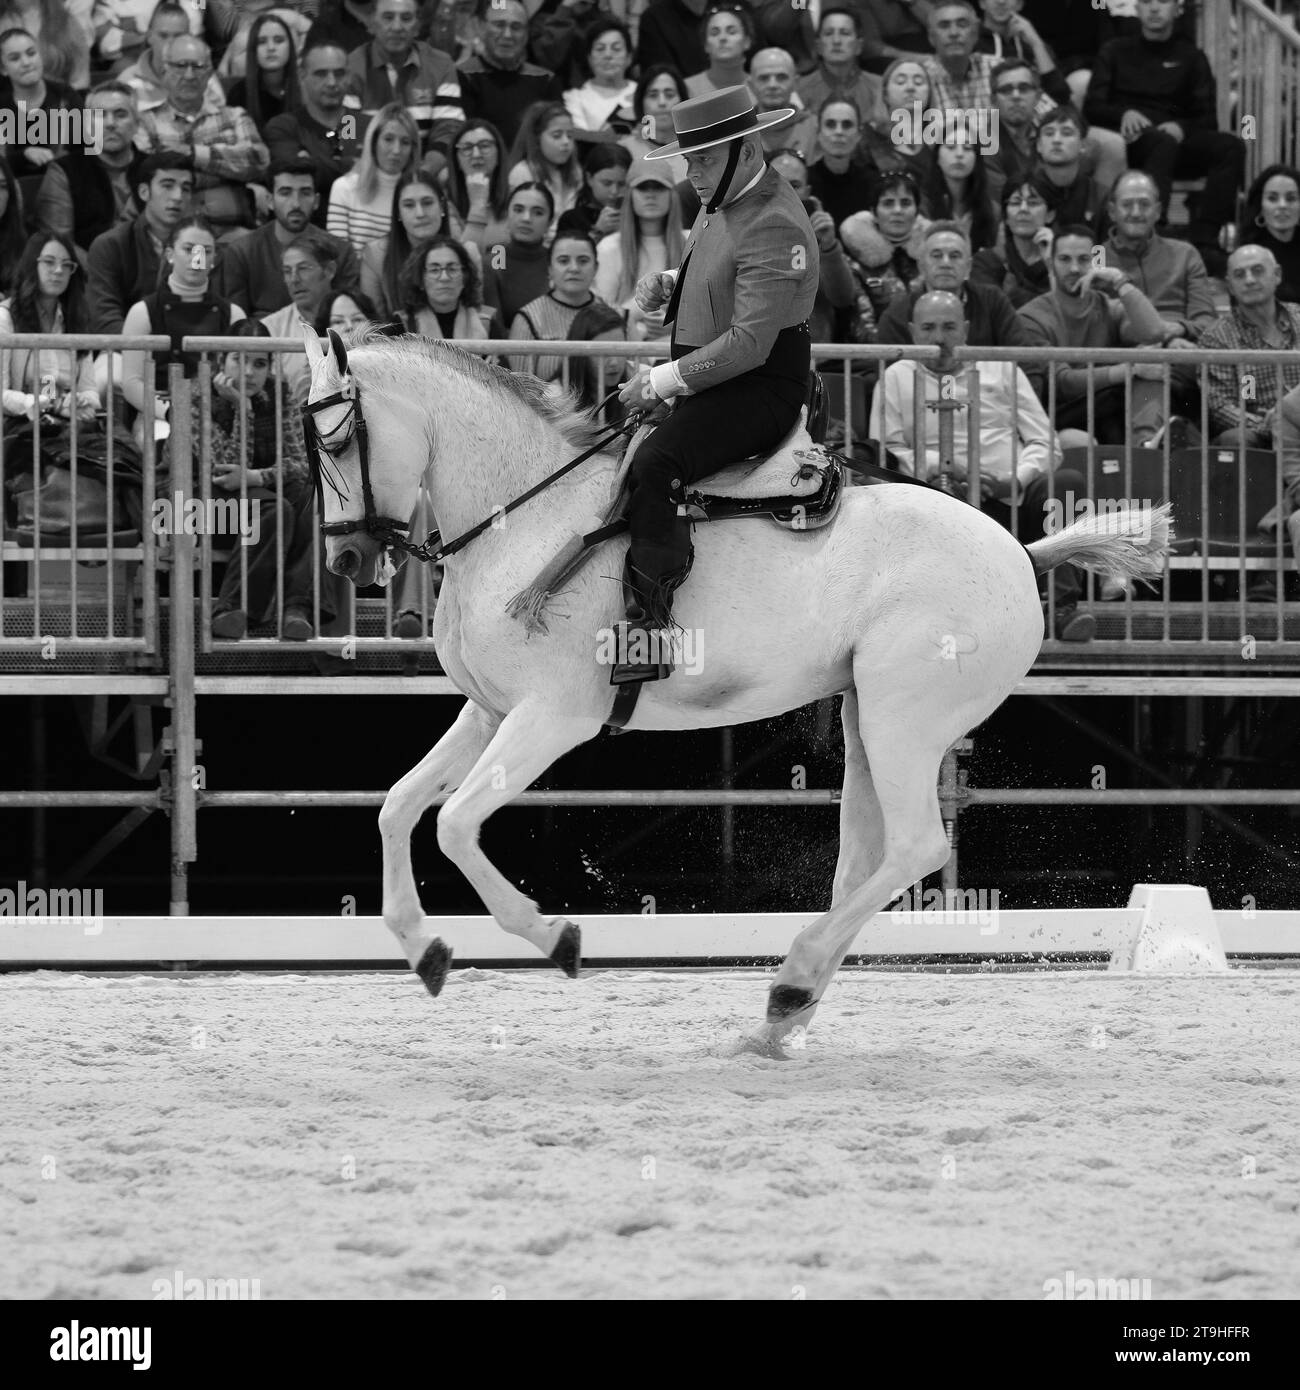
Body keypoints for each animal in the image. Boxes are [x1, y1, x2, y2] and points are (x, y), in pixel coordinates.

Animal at [301, 326, 1171, 1056]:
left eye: (337, 439)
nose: (346, 562)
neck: (527, 519)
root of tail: (1021, 553)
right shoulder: (489, 713)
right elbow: (398, 807)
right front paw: (426, 950)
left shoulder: (550, 719)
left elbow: (453, 825)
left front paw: (557, 938)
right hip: (865, 720)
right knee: (865, 860)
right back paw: (785, 1016)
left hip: (906, 721)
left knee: (916, 846)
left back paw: (790, 985)